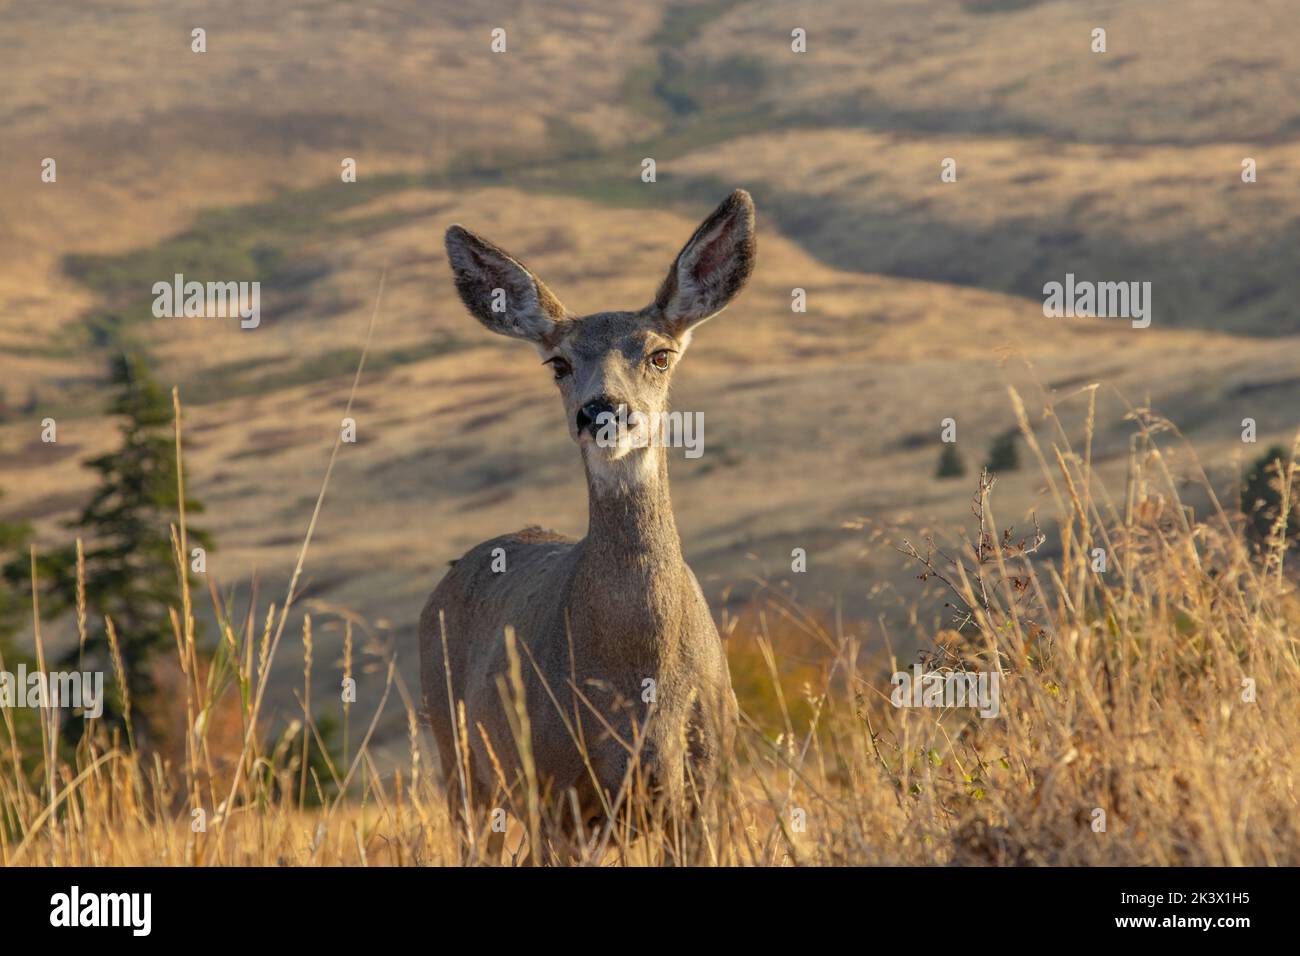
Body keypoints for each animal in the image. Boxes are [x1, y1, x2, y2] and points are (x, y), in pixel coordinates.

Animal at [419, 190, 755, 864]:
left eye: (659, 354)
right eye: (558, 362)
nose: (603, 410)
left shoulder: (705, 789)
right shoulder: (556, 792)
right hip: (462, 761)